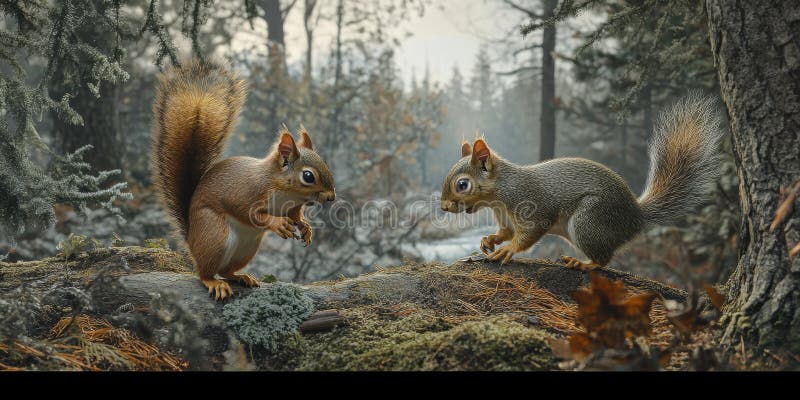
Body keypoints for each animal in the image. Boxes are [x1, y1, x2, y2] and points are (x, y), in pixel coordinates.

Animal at [151, 59, 336, 300]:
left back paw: (241, 276)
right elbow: (250, 213)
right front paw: (277, 223)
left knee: (226, 270)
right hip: (215, 236)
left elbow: (296, 215)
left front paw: (305, 228)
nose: (331, 197)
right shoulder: (247, 192)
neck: (286, 192)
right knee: (205, 271)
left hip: (247, 248)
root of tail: (191, 240)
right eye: (308, 176)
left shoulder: (293, 206)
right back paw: (213, 281)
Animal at [440, 94, 723, 268]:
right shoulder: (505, 217)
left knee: (604, 260)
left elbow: (530, 231)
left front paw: (508, 250)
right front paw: (489, 240)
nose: (443, 207)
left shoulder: (531, 203)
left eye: (462, 185)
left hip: (590, 220)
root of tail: (636, 215)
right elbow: (506, 232)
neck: (500, 194)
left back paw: (584, 264)